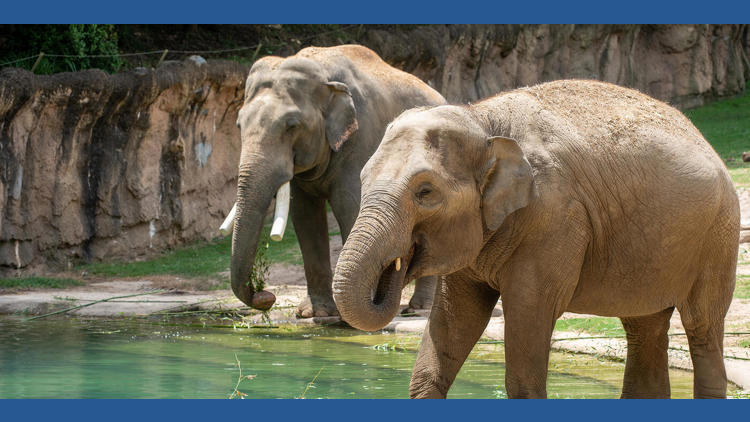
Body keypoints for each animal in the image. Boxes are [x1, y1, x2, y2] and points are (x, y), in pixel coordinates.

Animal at [231, 45, 444, 318]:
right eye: (239, 124)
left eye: (292, 125)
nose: (266, 295)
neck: (323, 73)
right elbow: (305, 215)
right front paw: (316, 313)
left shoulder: (361, 139)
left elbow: (349, 206)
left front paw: (354, 314)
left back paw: (418, 309)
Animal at [333, 80, 739, 398]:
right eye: (364, 178)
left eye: (425, 192)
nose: (395, 267)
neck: (482, 121)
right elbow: (455, 318)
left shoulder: (556, 218)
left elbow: (527, 316)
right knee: (644, 327)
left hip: (719, 236)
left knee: (702, 326)